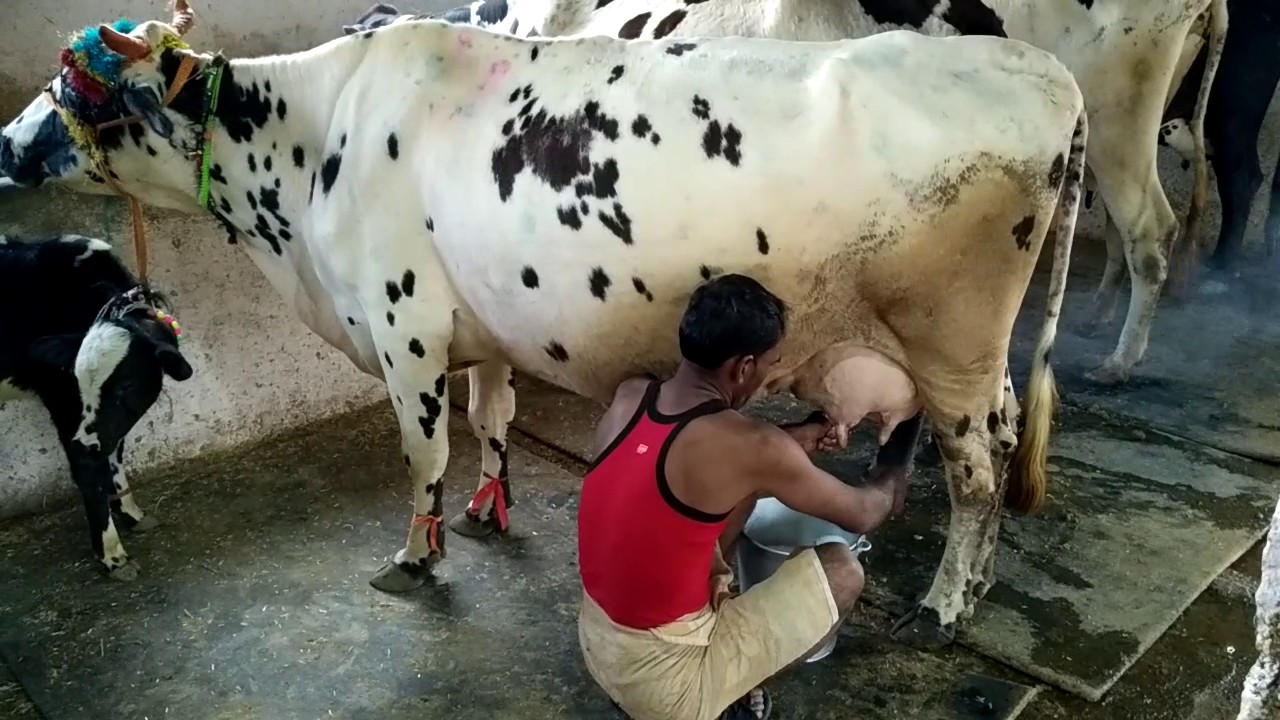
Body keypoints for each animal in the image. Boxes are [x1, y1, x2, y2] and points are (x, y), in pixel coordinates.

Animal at [0, 235, 193, 579]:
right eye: (77, 379)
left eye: (126, 384)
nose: (86, 442)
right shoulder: (61, 398)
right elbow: (88, 471)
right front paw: (112, 554)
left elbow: (113, 452)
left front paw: (131, 513)